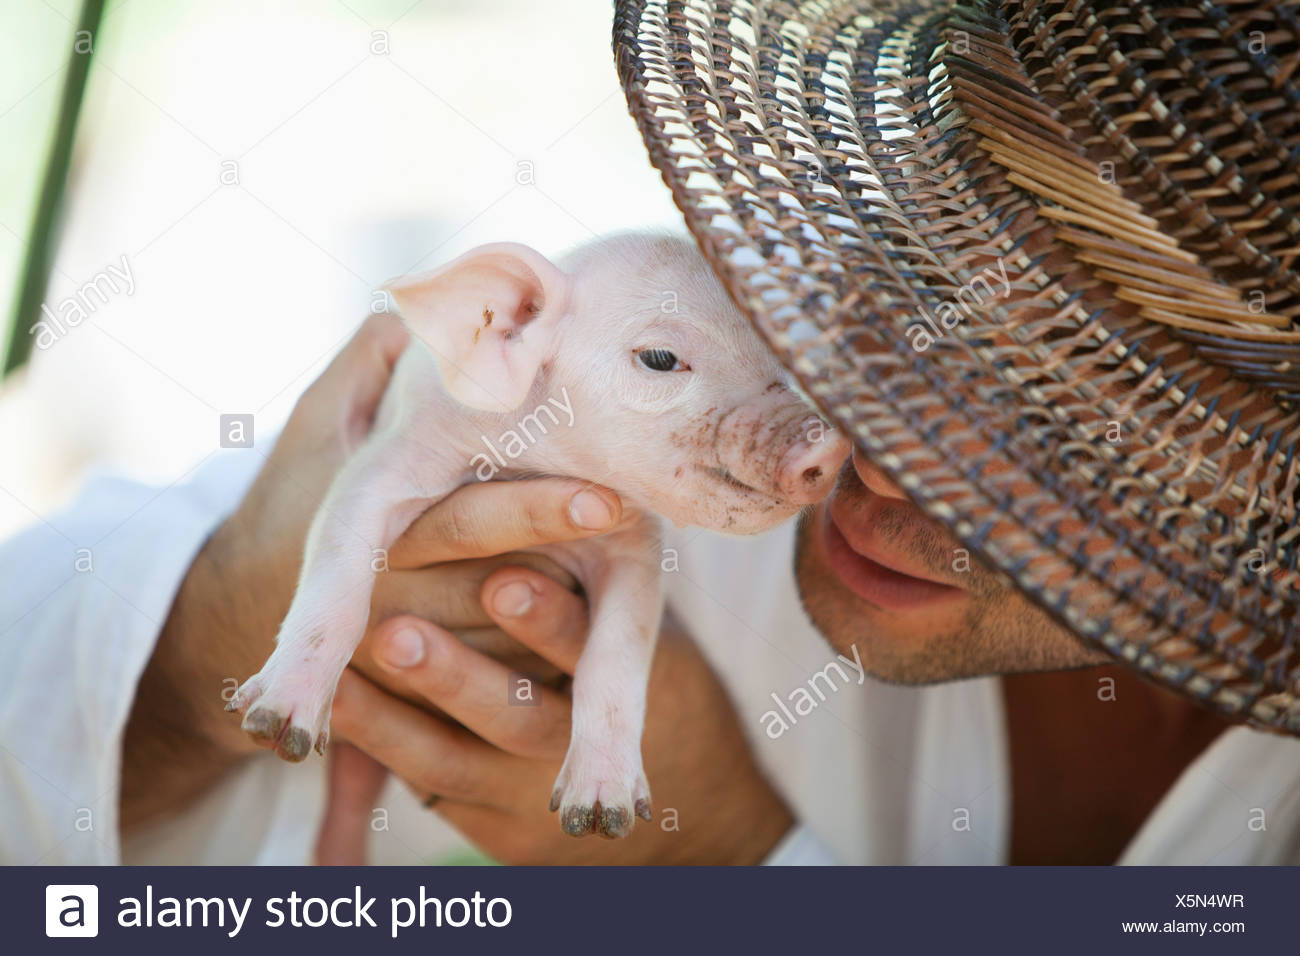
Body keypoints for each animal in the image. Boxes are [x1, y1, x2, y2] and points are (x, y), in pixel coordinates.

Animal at [226, 232, 849, 838]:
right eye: (659, 358)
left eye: (779, 355)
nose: (829, 443)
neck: (527, 464)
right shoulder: (387, 463)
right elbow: (339, 572)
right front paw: (271, 727)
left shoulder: (630, 543)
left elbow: (619, 650)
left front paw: (598, 821)